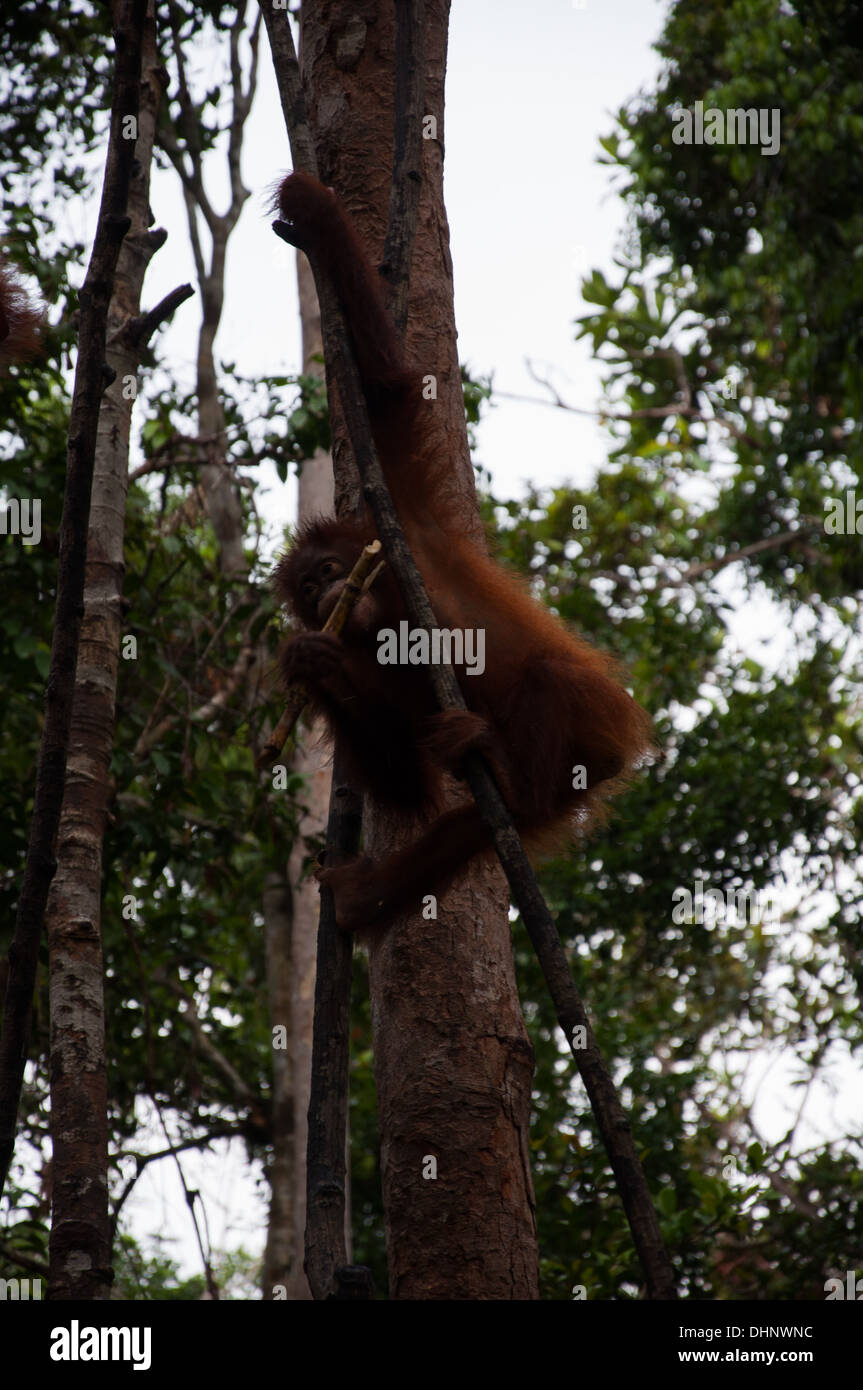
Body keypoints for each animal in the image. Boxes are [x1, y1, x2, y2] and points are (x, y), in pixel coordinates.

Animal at [273, 173, 653, 931]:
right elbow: (404, 781)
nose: (326, 596)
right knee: (480, 821)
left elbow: (389, 390)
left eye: (328, 571)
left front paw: (316, 213)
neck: (389, 607)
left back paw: (503, 770)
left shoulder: (406, 517)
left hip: (599, 720)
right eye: (305, 594)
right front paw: (309, 660)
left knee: (545, 683)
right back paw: (364, 896)